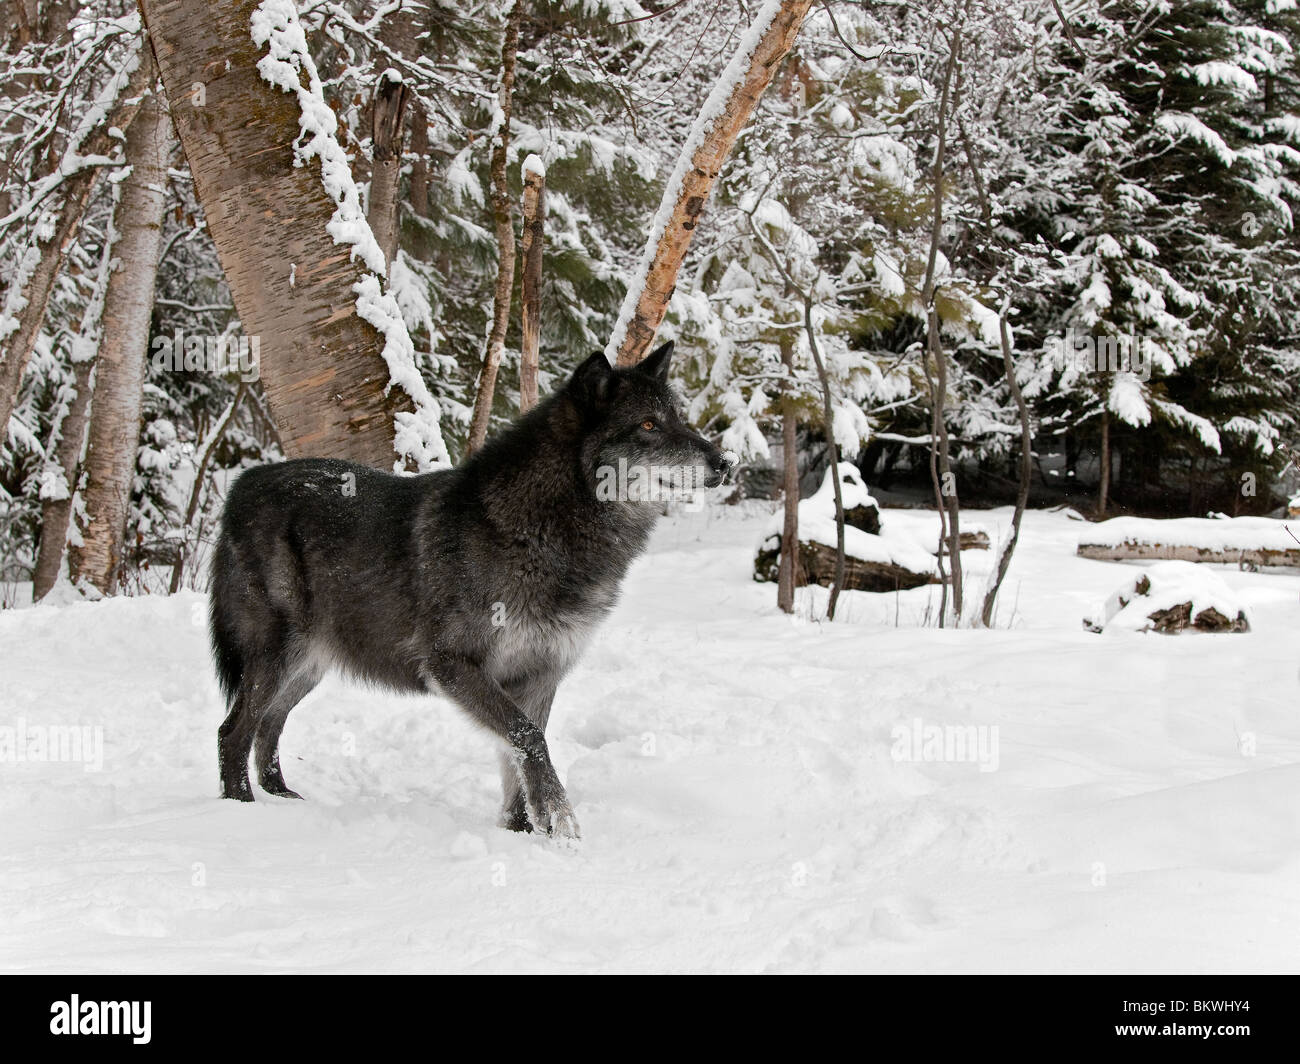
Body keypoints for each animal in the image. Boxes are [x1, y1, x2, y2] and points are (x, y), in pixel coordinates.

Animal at [209, 341, 729, 839]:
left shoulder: (540, 673)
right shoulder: (453, 663)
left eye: (679, 419)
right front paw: (559, 820)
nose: (727, 461)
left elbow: (518, 757)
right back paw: (241, 808)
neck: (544, 528)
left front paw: (520, 831)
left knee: (268, 726)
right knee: (233, 731)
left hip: (310, 663)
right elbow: (527, 737)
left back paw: (282, 797)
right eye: (648, 425)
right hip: (279, 654)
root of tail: (242, 485)